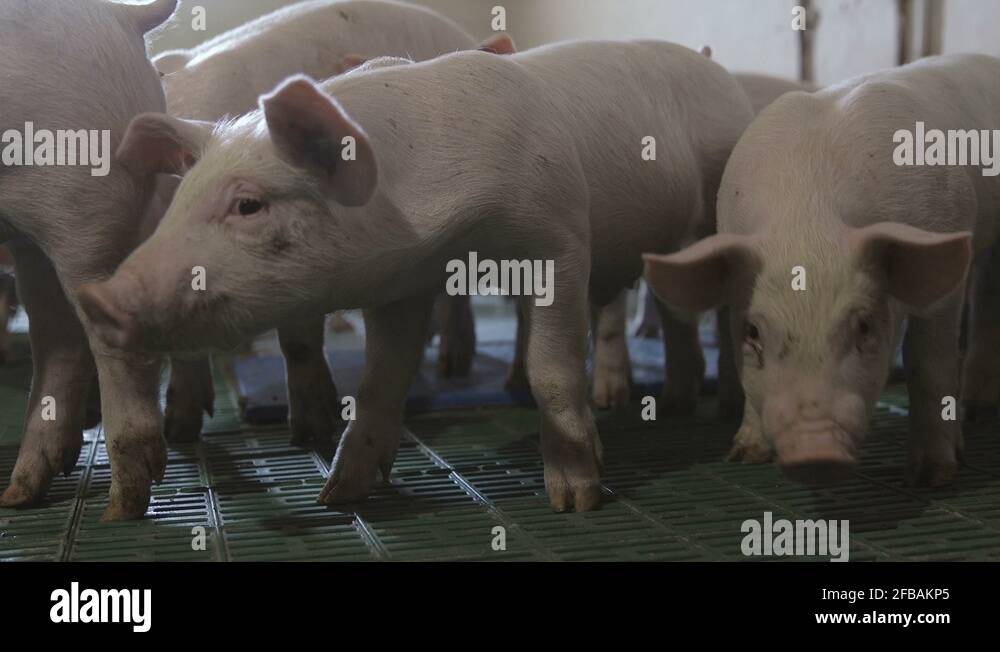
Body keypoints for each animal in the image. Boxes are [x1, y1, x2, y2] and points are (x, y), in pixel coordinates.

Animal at [0, 0, 179, 520]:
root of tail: (120, 16)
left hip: (78, 208)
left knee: (107, 342)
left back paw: (121, 507)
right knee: (59, 338)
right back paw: (19, 494)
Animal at [645, 54, 1000, 487]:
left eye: (864, 326)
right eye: (752, 332)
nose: (815, 453)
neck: (808, 220)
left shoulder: (946, 240)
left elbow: (928, 363)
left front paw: (933, 475)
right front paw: (744, 455)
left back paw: (979, 410)